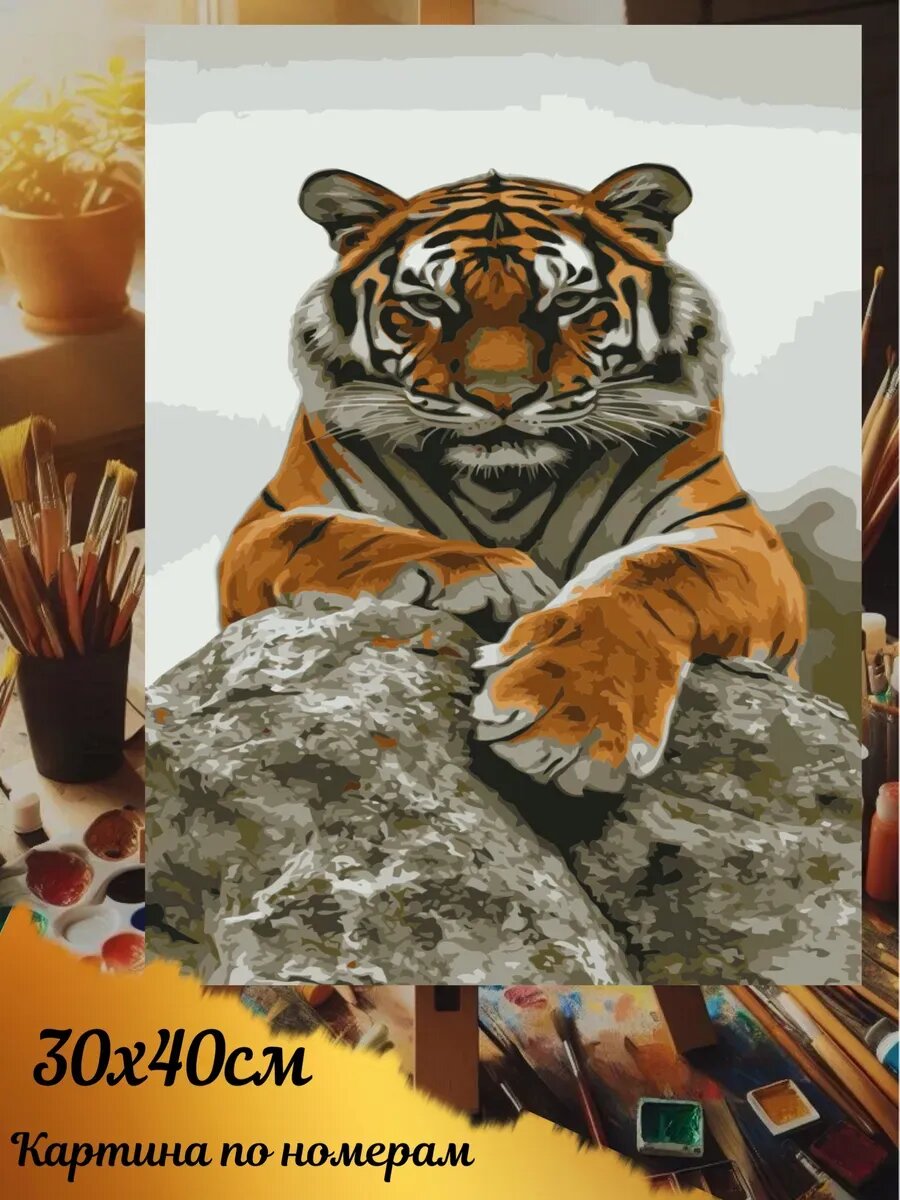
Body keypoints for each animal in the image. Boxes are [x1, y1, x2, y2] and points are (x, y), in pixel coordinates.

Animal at [219, 164, 807, 795]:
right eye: (428, 303)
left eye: (568, 301)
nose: (501, 398)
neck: (504, 485)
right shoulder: (265, 525)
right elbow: (340, 533)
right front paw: (494, 573)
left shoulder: (743, 540)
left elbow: (656, 570)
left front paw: (571, 720)